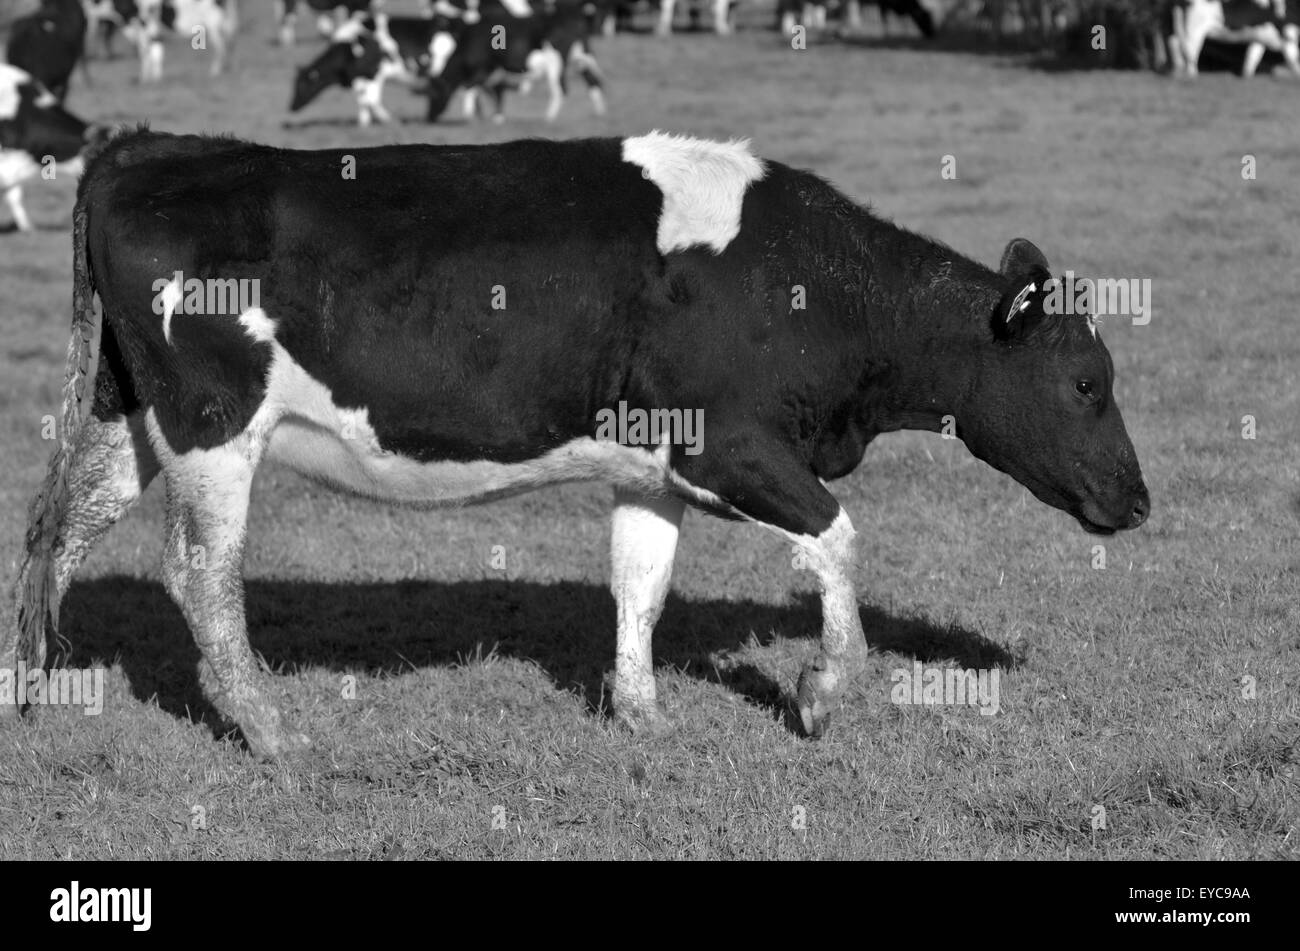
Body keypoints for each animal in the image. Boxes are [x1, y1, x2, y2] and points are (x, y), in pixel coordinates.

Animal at [4, 129, 1150, 757]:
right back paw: (271, 727)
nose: (1138, 501)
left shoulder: (654, 469)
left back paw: (36, 692)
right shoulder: (732, 447)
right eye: (1087, 383)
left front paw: (641, 715)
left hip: (126, 414)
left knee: (56, 531)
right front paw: (823, 691)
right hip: (212, 425)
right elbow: (837, 539)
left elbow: (640, 583)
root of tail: (151, 147)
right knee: (199, 571)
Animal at [1169, 0, 1300, 76]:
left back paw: (1177, 72)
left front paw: (1246, 76)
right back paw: (1191, 76)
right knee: (1189, 51)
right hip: (1193, 28)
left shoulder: (1260, 38)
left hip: (1179, 24)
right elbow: (1294, 60)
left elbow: (1252, 57)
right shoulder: (1288, 36)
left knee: (1175, 45)